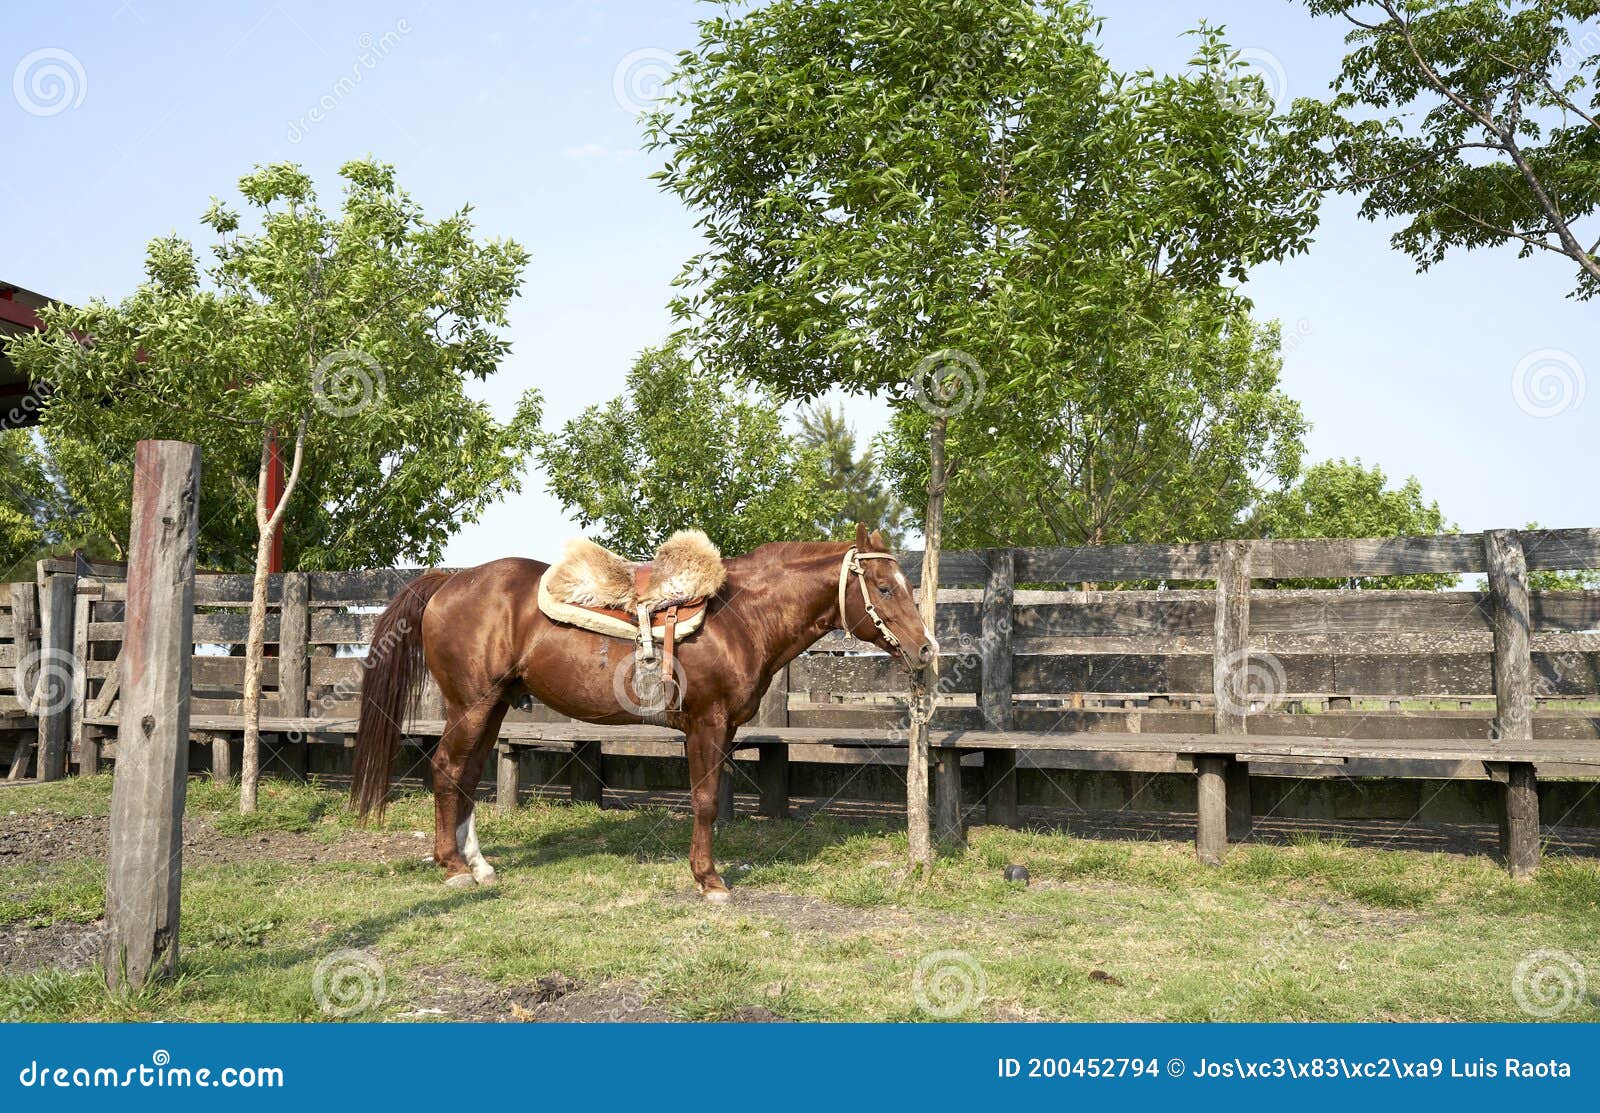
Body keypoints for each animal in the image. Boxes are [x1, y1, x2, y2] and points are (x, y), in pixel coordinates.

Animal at [350, 524, 936, 900]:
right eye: (885, 587)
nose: (927, 650)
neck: (740, 616)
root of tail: (450, 581)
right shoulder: (706, 724)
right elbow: (704, 801)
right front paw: (709, 880)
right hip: (470, 706)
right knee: (446, 769)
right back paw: (451, 868)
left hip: (492, 706)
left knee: (468, 775)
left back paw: (478, 865)